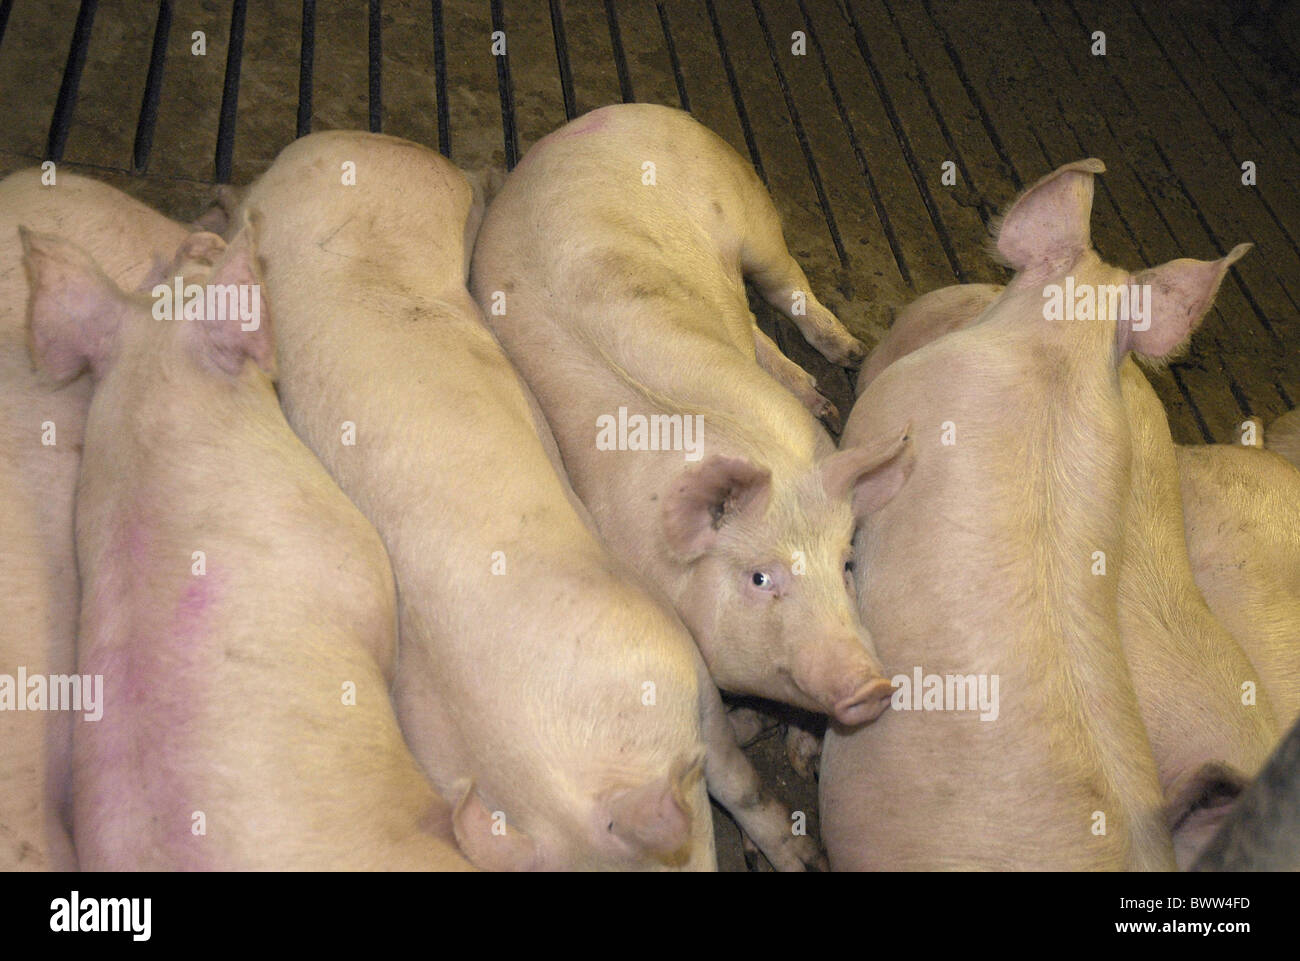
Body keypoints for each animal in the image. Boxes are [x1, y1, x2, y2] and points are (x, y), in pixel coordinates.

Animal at [471, 103, 910, 744]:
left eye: (847, 563)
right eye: (759, 579)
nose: (873, 687)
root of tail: (604, 115)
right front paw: (753, 727)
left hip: (751, 216)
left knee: (786, 285)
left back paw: (848, 358)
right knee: (752, 319)